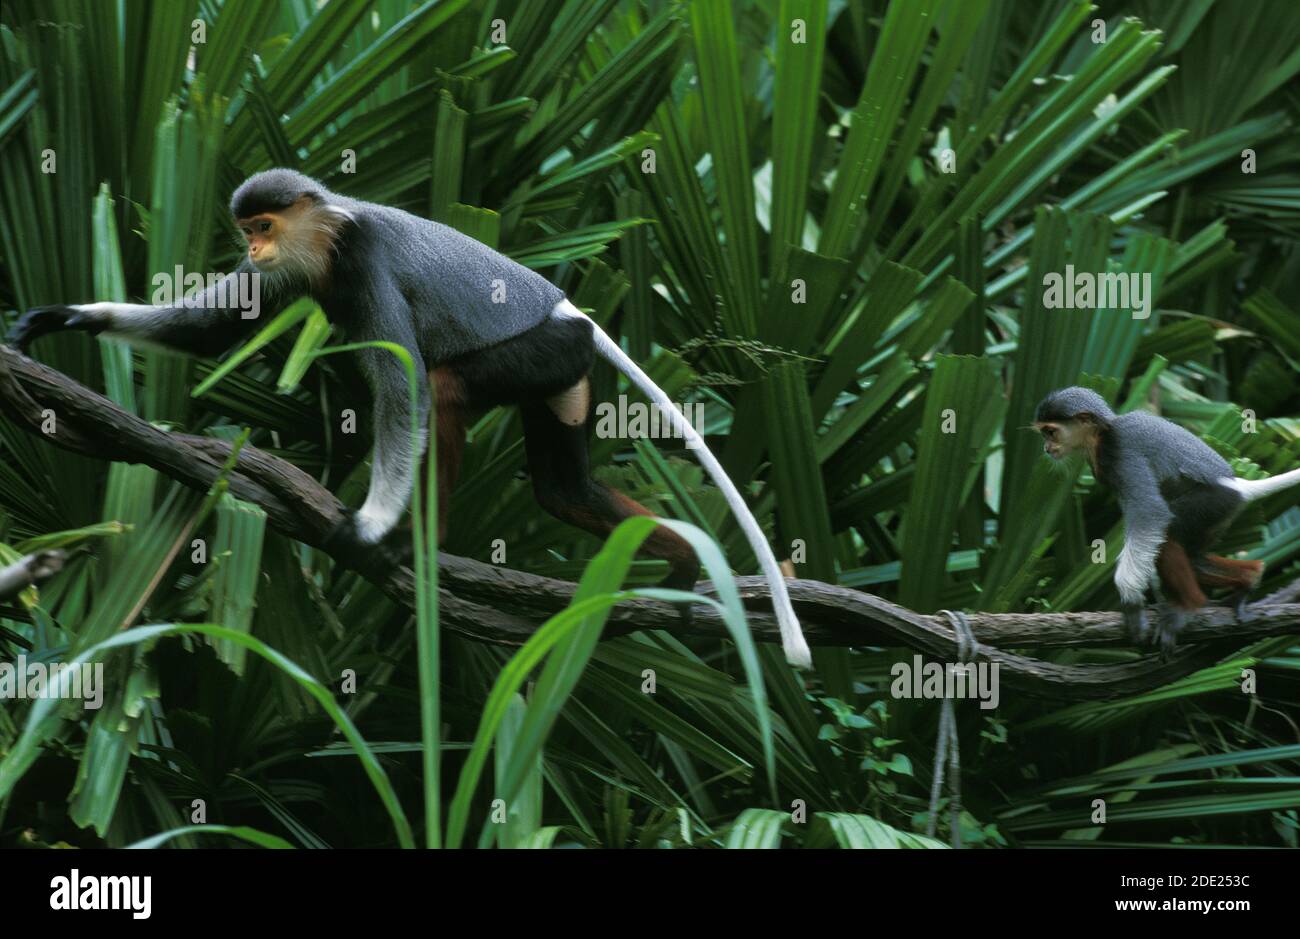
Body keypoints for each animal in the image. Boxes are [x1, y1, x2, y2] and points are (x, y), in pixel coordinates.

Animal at [7, 168, 812, 668]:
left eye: (263, 223)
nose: (254, 246)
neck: (326, 240)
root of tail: (569, 311)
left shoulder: (364, 265)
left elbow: (406, 389)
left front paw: (369, 526)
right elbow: (208, 331)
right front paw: (67, 317)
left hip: (547, 352)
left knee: (447, 390)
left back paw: (421, 544)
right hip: (568, 376)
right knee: (563, 489)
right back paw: (681, 559)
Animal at [1034, 386, 1300, 652]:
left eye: (1051, 432)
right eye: (1044, 434)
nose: (1046, 448)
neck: (1101, 433)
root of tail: (1236, 485)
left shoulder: (1119, 450)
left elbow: (1150, 512)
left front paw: (1131, 599)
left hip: (1210, 503)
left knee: (1170, 538)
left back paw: (1189, 605)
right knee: (1193, 557)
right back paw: (1249, 577)